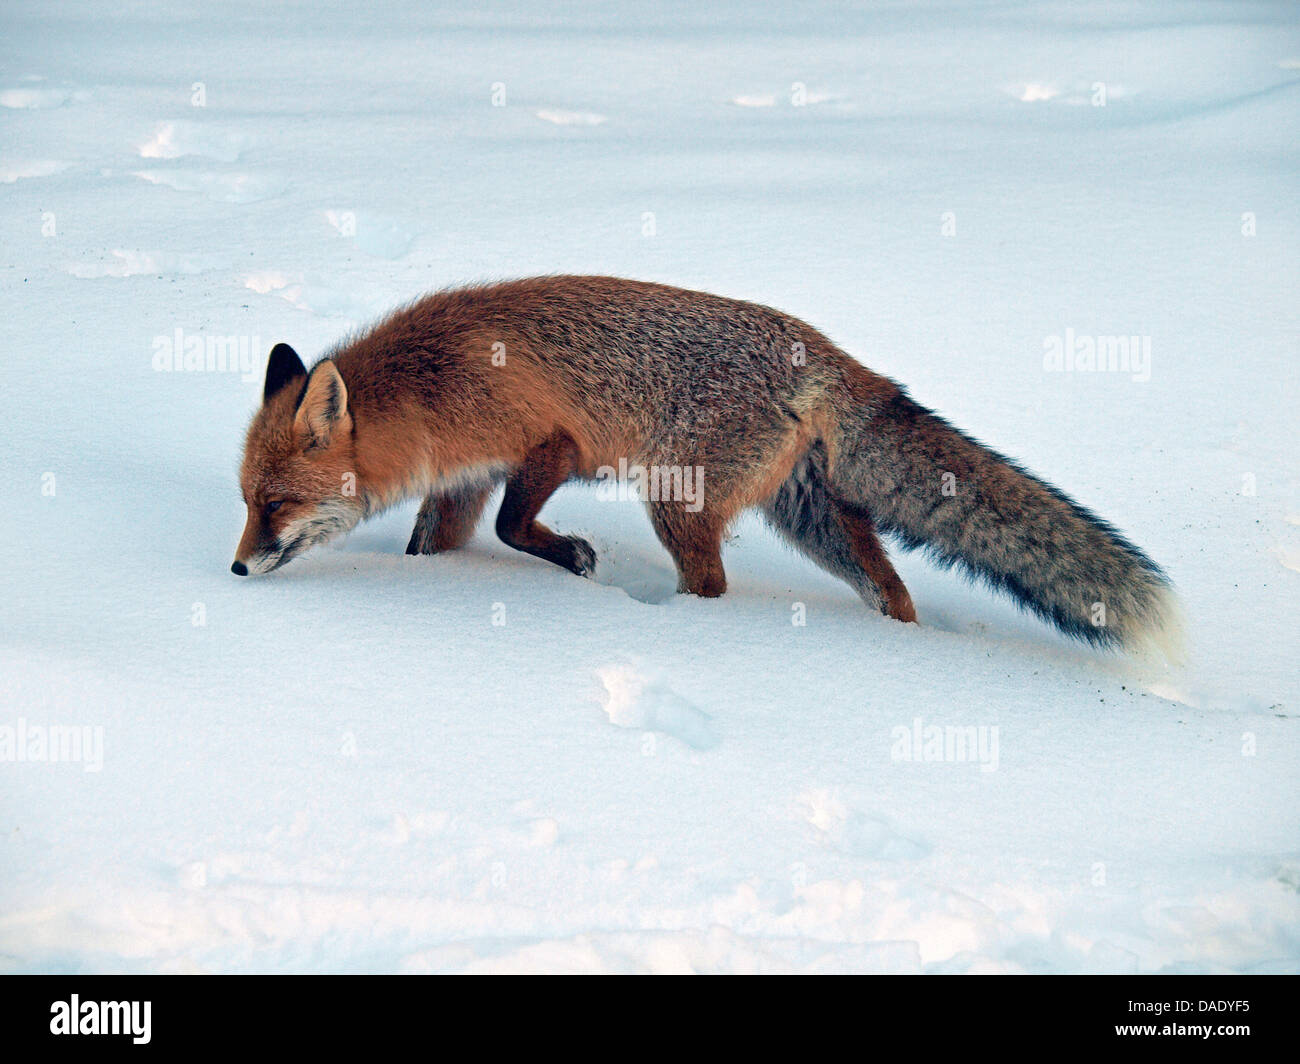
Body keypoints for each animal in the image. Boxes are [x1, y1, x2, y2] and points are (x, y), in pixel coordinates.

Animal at [233, 275, 1179, 654]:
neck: (432, 387)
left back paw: (685, 634)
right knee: (892, 591)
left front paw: (575, 559)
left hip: (676, 499)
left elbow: (513, 524)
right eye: (247, 500)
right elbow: (437, 544)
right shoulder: (463, 477)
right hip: (808, 517)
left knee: (715, 585)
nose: (237, 568)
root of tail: (827, 353)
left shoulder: (551, 443)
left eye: (276, 503)